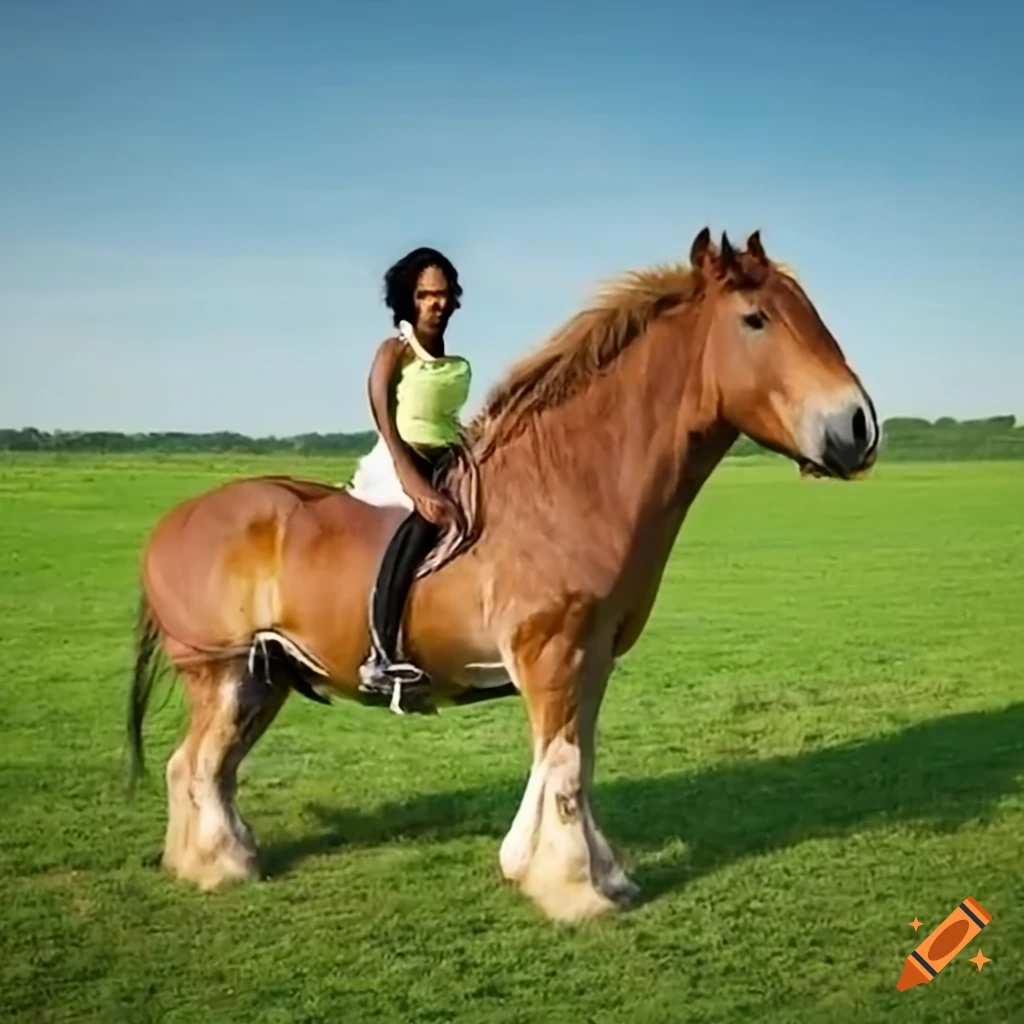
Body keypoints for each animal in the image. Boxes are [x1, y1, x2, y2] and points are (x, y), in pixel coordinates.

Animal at [127, 228, 879, 923]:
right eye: (756, 319)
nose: (858, 427)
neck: (569, 487)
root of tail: (172, 524)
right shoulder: (551, 655)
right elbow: (566, 768)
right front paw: (575, 891)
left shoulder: (589, 658)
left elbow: (572, 761)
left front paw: (581, 872)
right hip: (221, 674)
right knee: (195, 765)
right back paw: (218, 866)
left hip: (264, 678)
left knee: (209, 767)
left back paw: (224, 857)